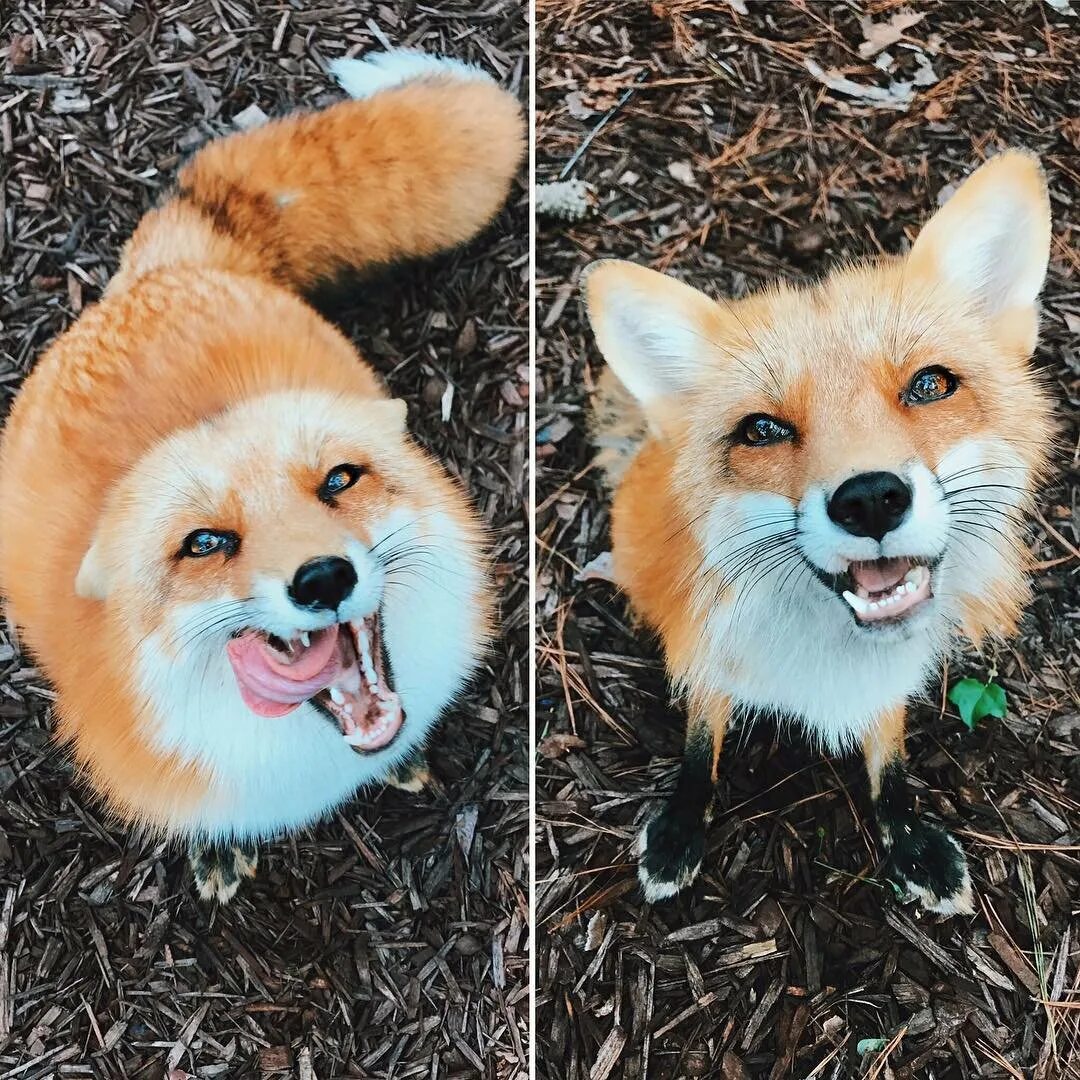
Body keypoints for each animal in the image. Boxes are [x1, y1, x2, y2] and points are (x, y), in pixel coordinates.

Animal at [582, 151, 1054, 916]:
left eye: (930, 385)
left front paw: (910, 841)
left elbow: (889, 767)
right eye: (762, 430)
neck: (828, 657)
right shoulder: (707, 657)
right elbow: (699, 749)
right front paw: (679, 828)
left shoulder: (887, 688)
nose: (870, 499)